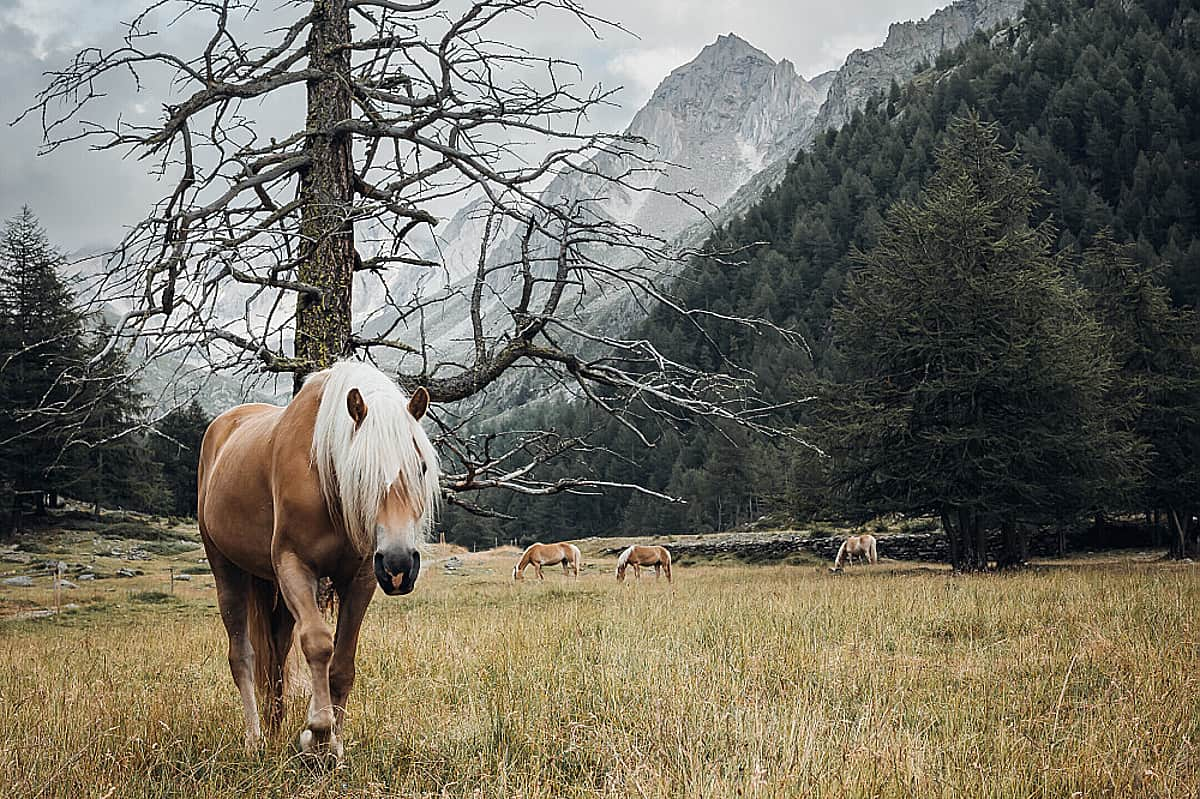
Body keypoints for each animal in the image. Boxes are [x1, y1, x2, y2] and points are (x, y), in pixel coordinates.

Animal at [196, 357, 441, 758]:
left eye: (420, 467)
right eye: (361, 470)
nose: (399, 565)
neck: (324, 472)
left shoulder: (361, 579)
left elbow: (342, 663)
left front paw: (334, 745)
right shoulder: (295, 566)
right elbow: (317, 643)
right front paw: (320, 735)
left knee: (276, 656)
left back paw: (274, 729)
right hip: (226, 570)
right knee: (243, 656)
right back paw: (254, 739)